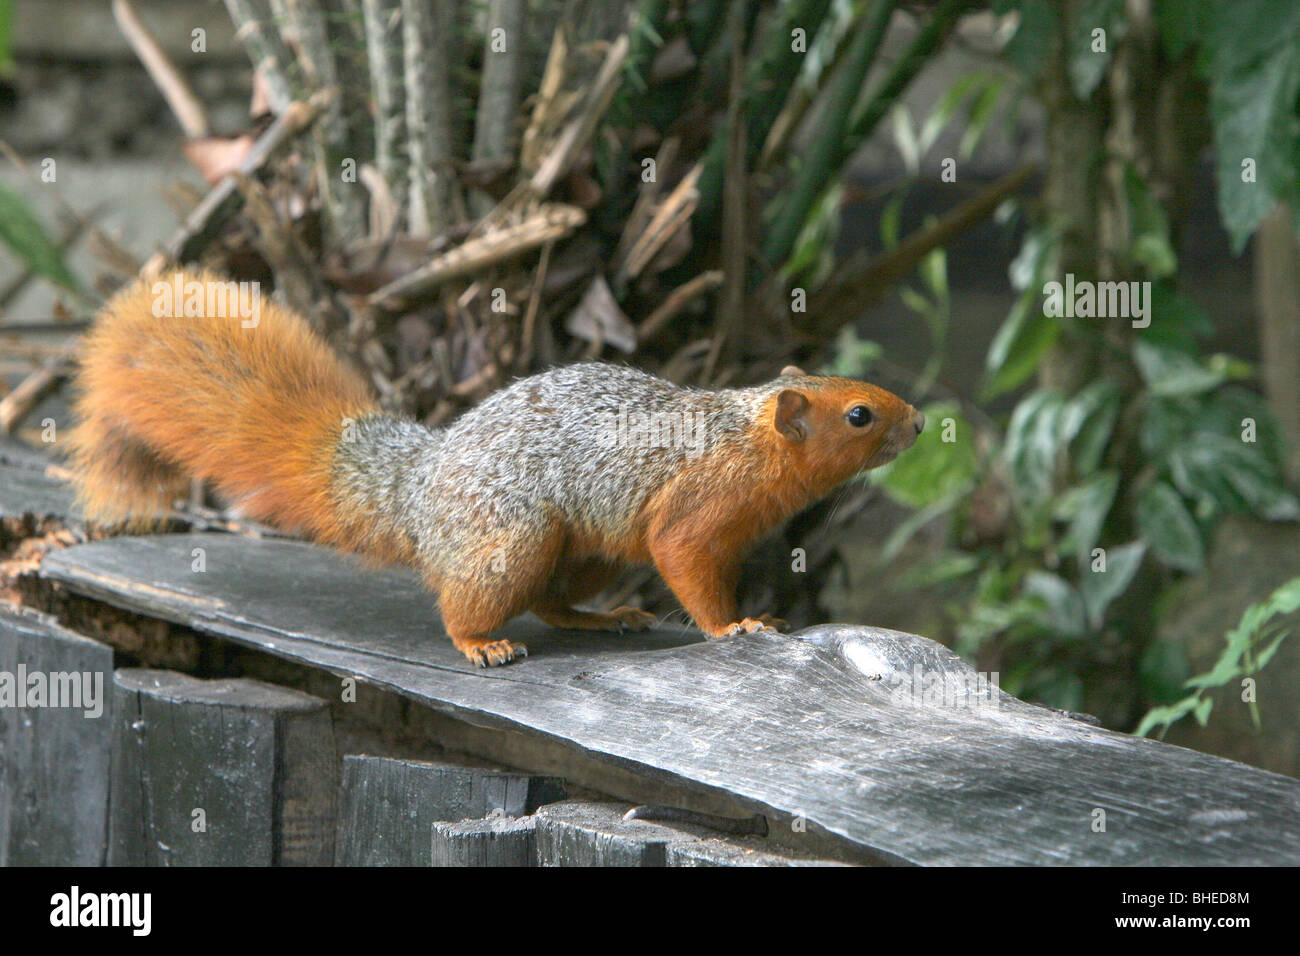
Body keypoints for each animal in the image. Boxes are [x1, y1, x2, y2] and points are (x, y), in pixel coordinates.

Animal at [69, 270, 925, 666]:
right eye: (859, 414)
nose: (918, 421)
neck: (748, 436)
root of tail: (416, 492)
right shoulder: (698, 504)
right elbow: (685, 562)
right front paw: (737, 624)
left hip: (584, 550)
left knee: (550, 602)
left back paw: (600, 617)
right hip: (510, 539)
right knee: (471, 603)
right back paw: (480, 642)